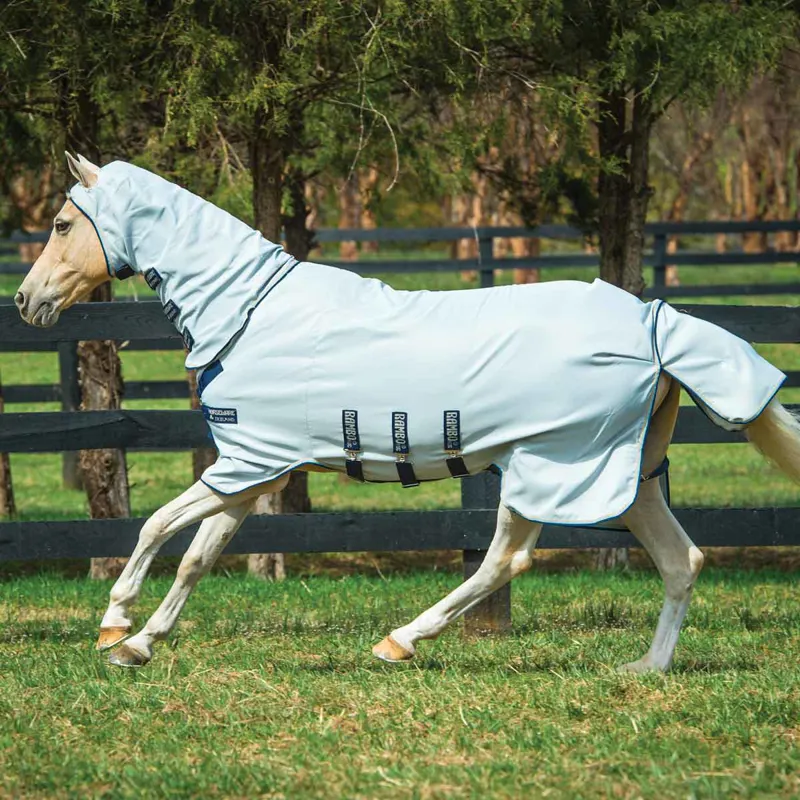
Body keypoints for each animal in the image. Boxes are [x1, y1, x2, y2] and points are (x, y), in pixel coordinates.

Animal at [14, 152, 800, 672]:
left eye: (60, 223)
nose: (26, 301)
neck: (250, 312)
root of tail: (655, 323)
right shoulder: (254, 471)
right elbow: (198, 558)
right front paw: (143, 645)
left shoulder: (247, 464)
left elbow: (154, 526)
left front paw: (114, 626)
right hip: (627, 478)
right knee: (681, 561)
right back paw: (646, 669)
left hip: (545, 466)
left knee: (506, 559)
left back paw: (399, 641)